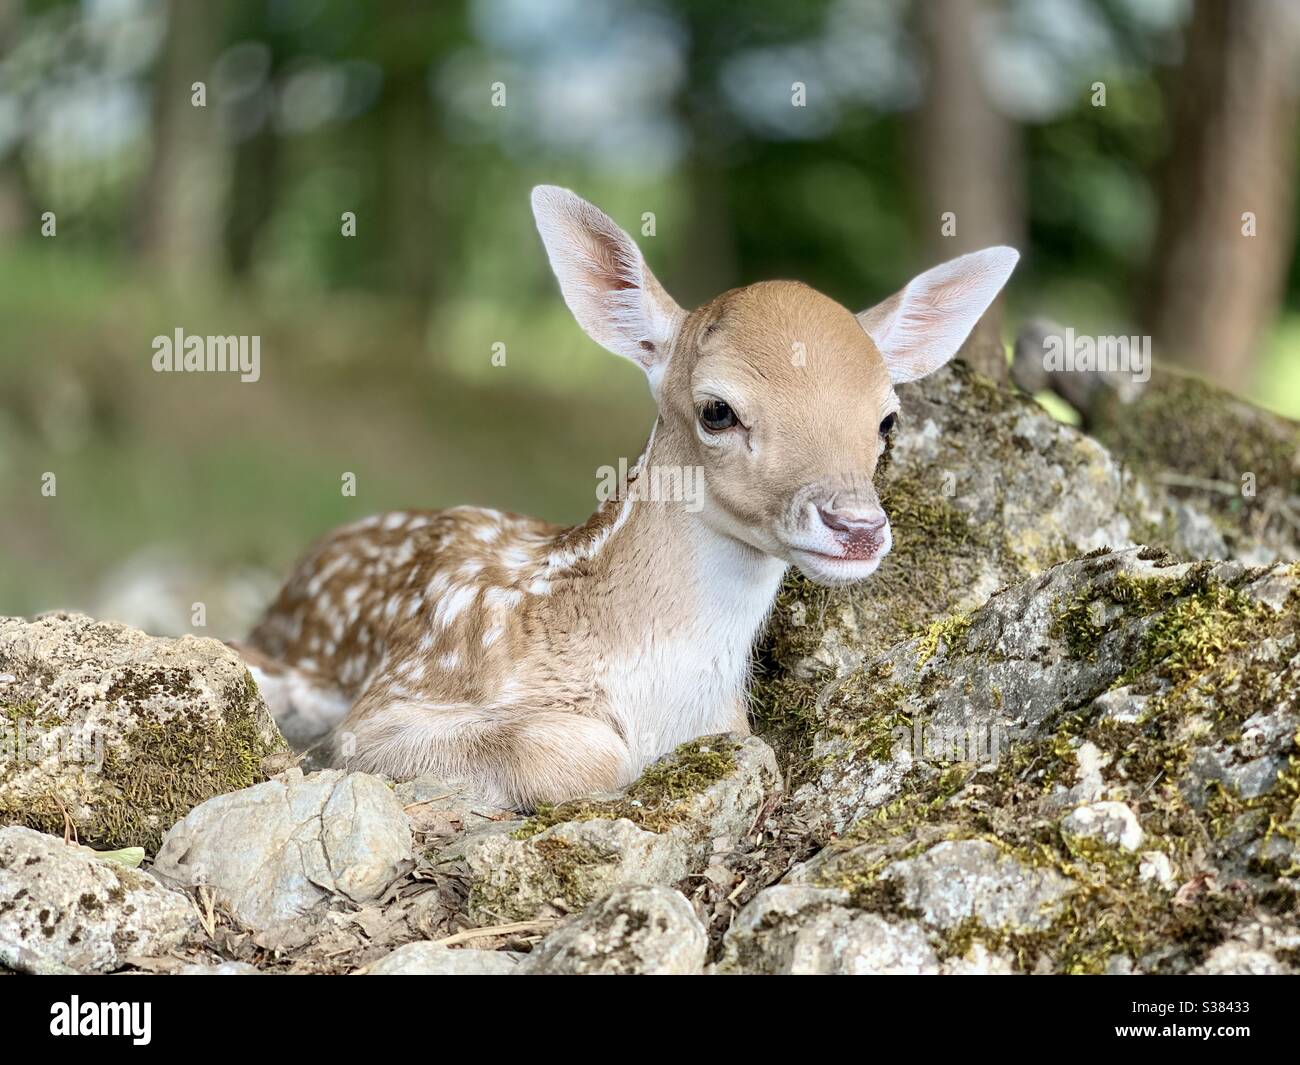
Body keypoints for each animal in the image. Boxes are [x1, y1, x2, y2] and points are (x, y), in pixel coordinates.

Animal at [236, 186, 1017, 810]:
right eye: (717, 410)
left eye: (888, 420)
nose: (856, 526)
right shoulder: (394, 700)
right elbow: (587, 751)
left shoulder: (732, 726)